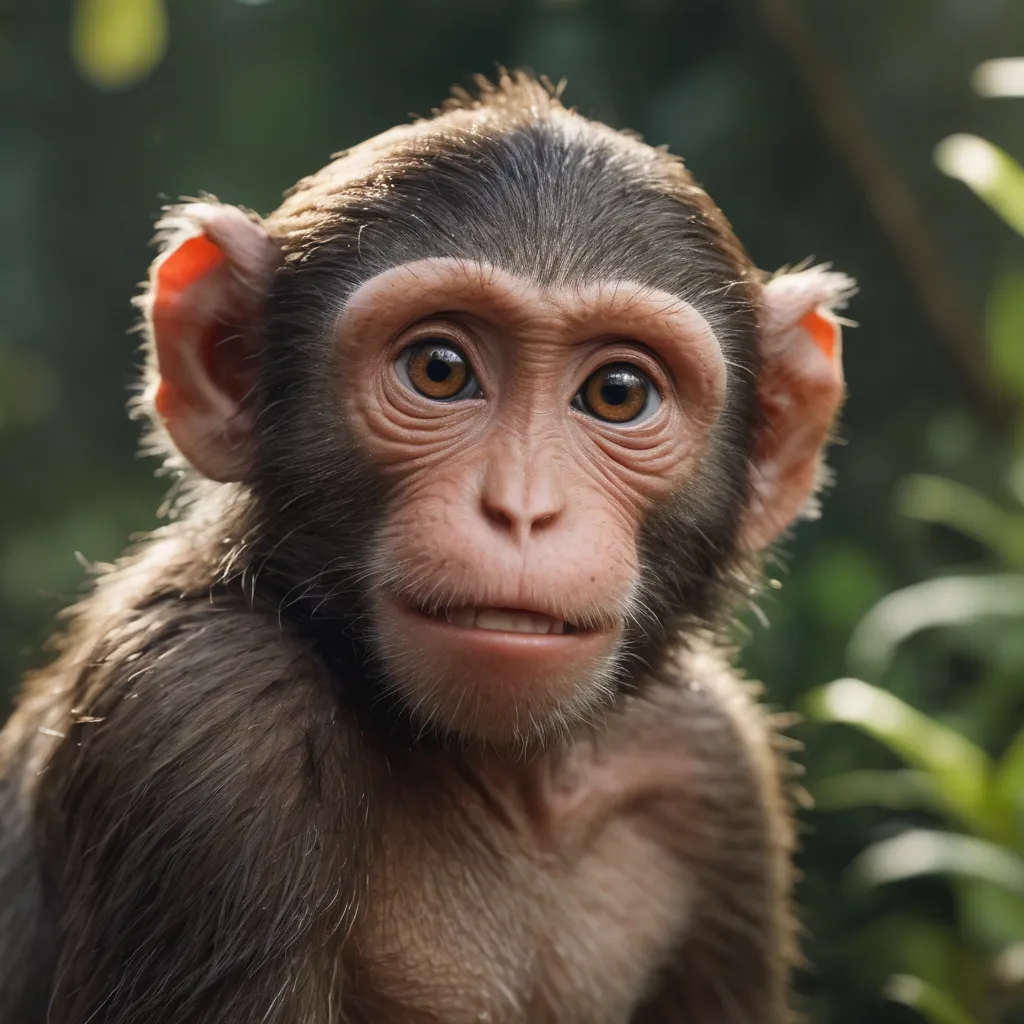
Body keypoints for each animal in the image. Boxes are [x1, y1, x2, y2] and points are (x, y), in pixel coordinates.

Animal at [0, 72, 853, 1024]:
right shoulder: (208, 724)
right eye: (440, 370)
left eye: (619, 393)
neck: (512, 782)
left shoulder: (714, 763)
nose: (523, 507)